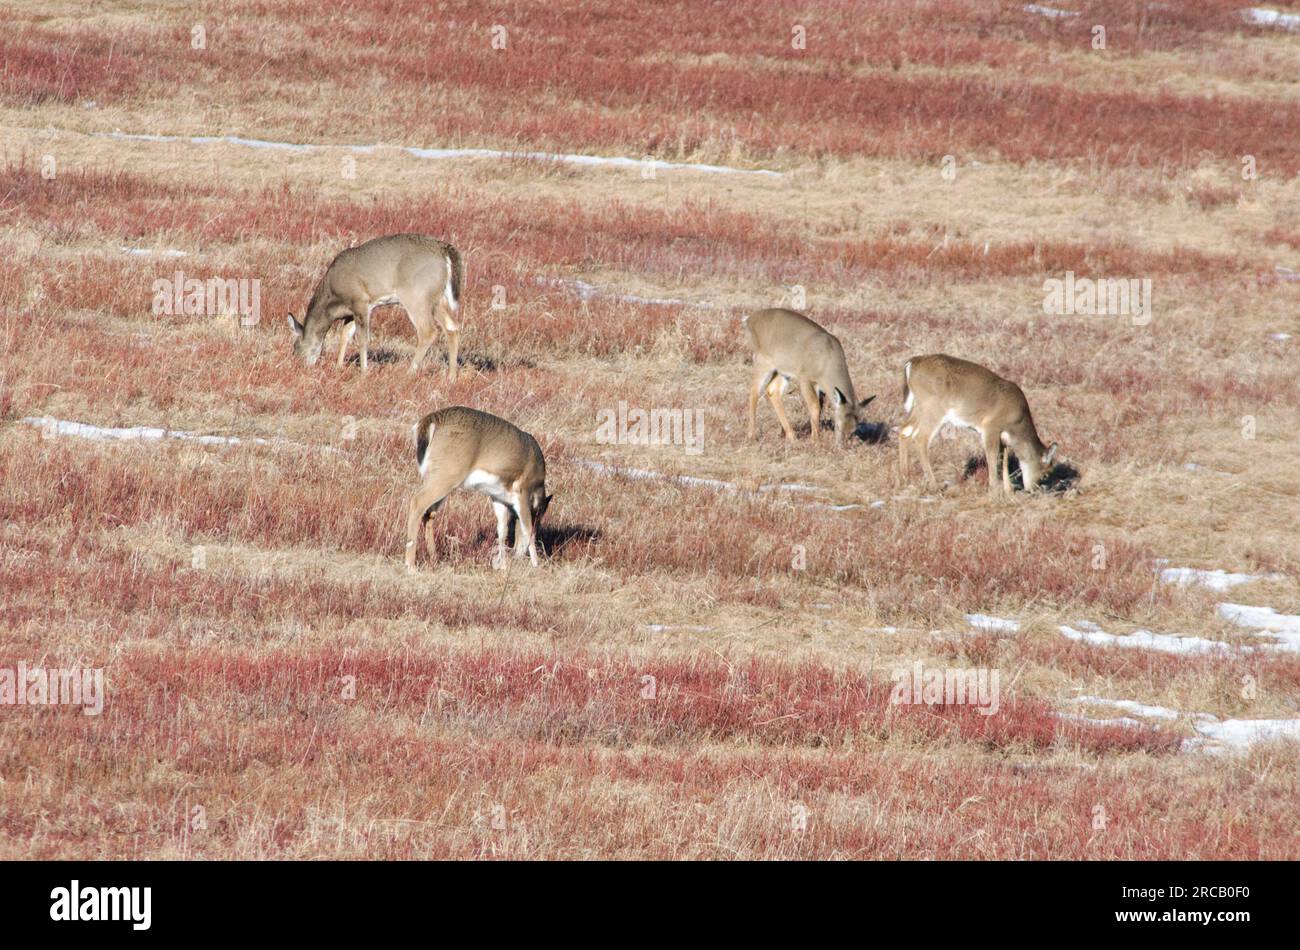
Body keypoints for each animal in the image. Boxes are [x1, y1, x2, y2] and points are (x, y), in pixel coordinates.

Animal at [287, 233, 462, 380]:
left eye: (296, 347)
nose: (299, 366)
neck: (332, 299)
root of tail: (444, 251)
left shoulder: (360, 301)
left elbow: (362, 338)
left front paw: (364, 371)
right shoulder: (351, 312)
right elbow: (345, 335)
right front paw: (338, 366)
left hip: (416, 295)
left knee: (428, 331)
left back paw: (408, 373)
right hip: (437, 299)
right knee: (452, 328)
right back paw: (451, 377)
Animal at [405, 407, 552, 571]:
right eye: (538, 519)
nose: (519, 553)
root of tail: (427, 422)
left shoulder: (498, 497)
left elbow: (502, 530)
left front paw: (501, 564)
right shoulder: (522, 491)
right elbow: (527, 530)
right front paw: (536, 565)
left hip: (436, 477)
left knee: (429, 514)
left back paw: (434, 558)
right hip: (447, 474)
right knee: (417, 502)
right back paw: (410, 565)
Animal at [743, 308, 875, 446]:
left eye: (854, 430)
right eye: (838, 425)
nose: (841, 445)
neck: (826, 364)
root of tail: (748, 320)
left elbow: (818, 408)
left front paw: (813, 437)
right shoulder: (805, 378)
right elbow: (815, 406)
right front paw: (815, 441)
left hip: (782, 370)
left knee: (772, 391)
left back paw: (791, 437)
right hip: (762, 361)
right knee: (754, 391)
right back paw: (752, 436)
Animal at [897, 354, 1058, 495]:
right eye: (1045, 474)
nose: (1033, 490)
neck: (1016, 424)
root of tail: (911, 364)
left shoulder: (1003, 437)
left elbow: (1004, 459)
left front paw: (1008, 490)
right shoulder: (990, 426)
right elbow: (992, 456)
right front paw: (994, 490)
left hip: (919, 407)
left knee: (904, 430)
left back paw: (905, 476)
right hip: (933, 408)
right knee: (920, 439)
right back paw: (934, 485)